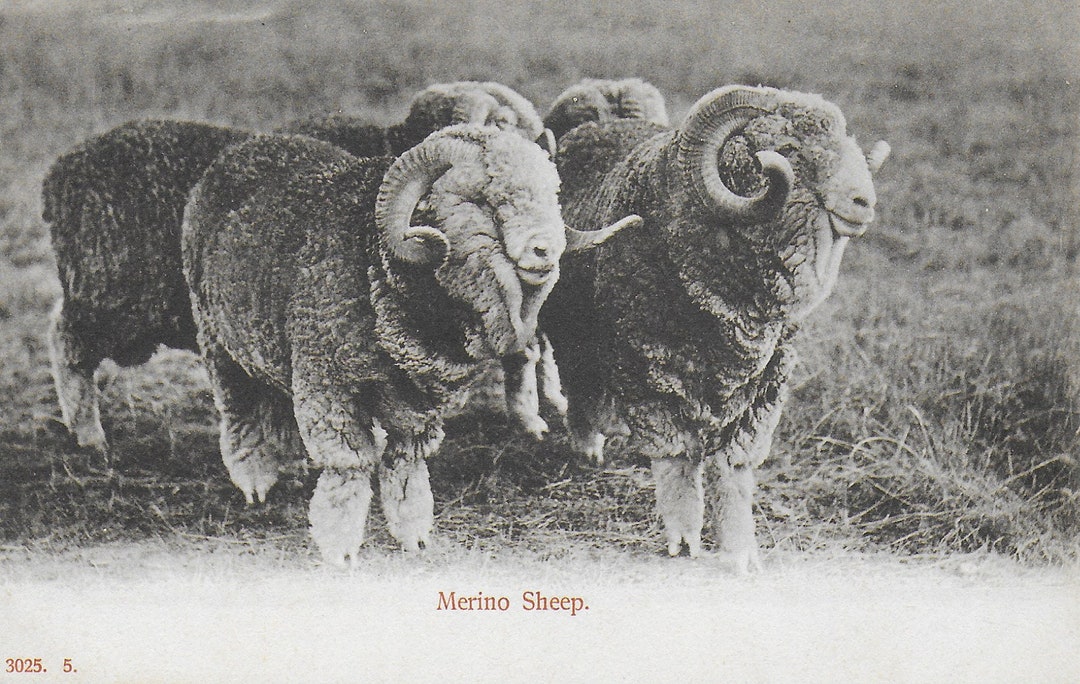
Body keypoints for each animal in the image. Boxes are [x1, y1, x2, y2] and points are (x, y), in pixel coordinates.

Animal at [43, 81, 553, 456]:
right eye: (491, 127)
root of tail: (60, 174)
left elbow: (519, 352)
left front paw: (531, 421)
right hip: (114, 290)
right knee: (66, 339)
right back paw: (88, 434)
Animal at [181, 125, 639, 565]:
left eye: (553, 196)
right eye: (483, 200)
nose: (546, 249)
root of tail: (248, 146)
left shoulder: (420, 401)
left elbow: (406, 462)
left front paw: (413, 536)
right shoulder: (326, 382)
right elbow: (348, 464)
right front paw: (339, 546)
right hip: (215, 335)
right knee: (238, 411)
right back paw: (255, 480)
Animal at [541, 85, 890, 573]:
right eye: (787, 149)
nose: (864, 203)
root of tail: (597, 118)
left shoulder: (764, 388)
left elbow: (733, 471)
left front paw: (741, 551)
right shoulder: (649, 376)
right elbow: (677, 461)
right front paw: (684, 539)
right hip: (574, 330)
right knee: (580, 381)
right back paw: (588, 446)